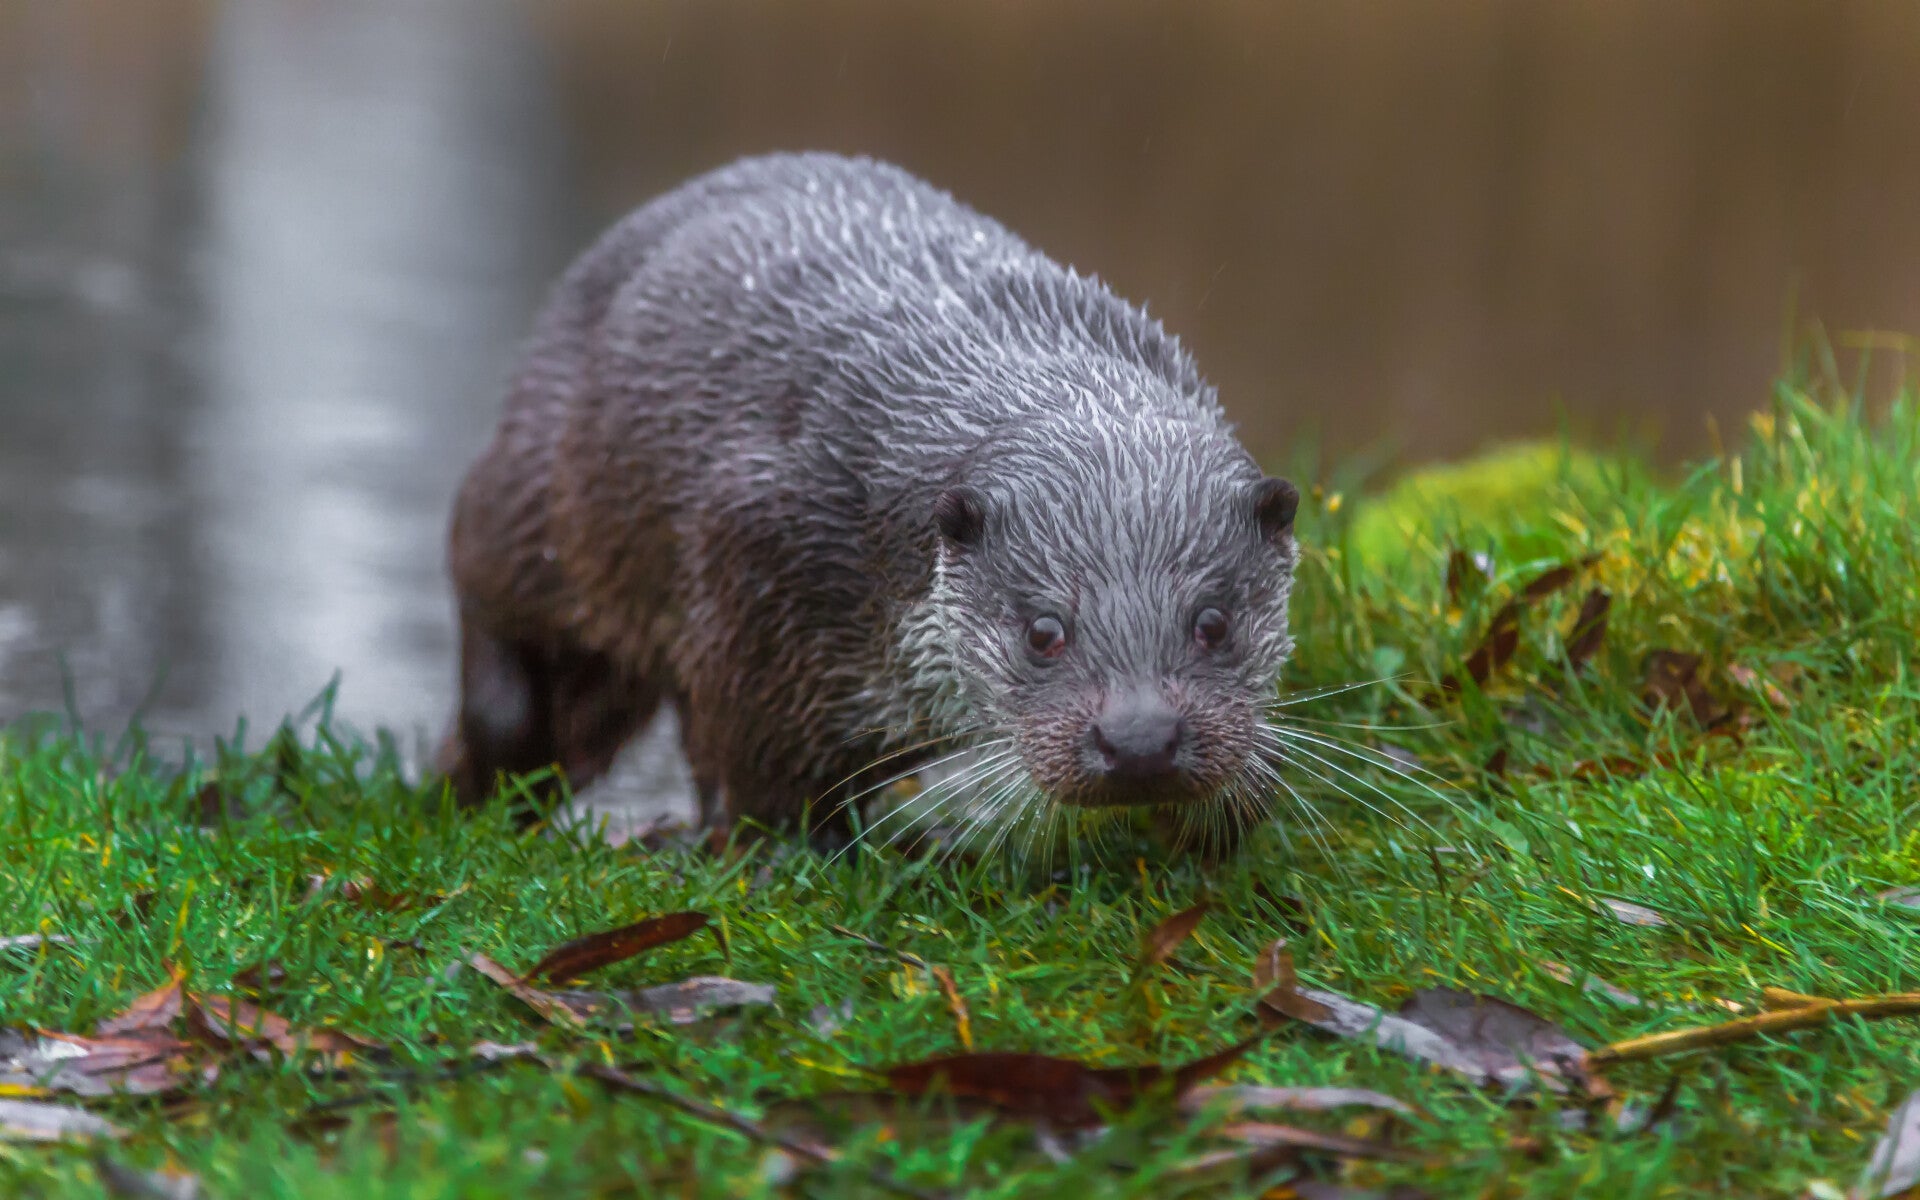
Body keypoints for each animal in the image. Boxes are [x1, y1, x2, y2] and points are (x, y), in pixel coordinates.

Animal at [439, 152, 1300, 850]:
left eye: (1214, 623)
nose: (1141, 740)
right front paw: (775, 850)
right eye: (1043, 632)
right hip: (539, 505)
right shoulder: (755, 550)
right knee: (486, 594)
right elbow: (748, 745)